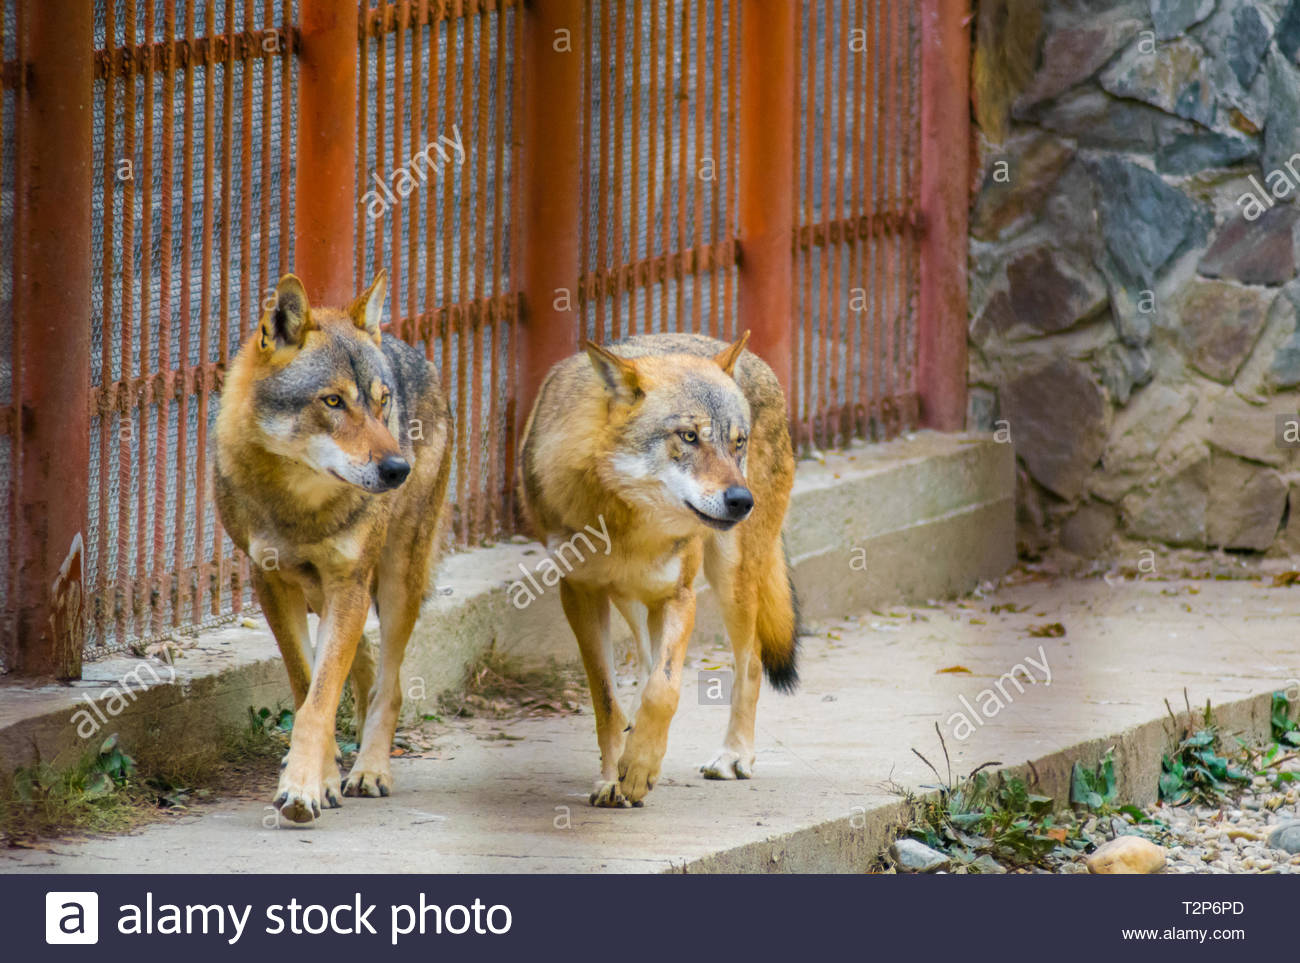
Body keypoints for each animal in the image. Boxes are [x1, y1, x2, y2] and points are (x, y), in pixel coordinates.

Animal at [215, 271, 451, 824]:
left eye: (382, 401)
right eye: (333, 402)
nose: (397, 469)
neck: (301, 507)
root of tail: (411, 349)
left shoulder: (349, 584)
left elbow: (320, 700)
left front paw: (304, 787)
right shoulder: (271, 582)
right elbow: (309, 686)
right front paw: (317, 778)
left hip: (395, 580)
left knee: (390, 685)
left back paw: (371, 770)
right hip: (326, 593)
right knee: (361, 664)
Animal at [519, 331, 799, 807]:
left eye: (738, 442)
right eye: (688, 436)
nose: (743, 500)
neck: (627, 524)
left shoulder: (678, 595)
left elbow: (663, 690)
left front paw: (637, 770)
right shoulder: (580, 594)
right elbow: (608, 699)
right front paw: (615, 776)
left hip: (731, 575)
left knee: (751, 661)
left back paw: (733, 757)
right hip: (633, 597)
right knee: (649, 661)